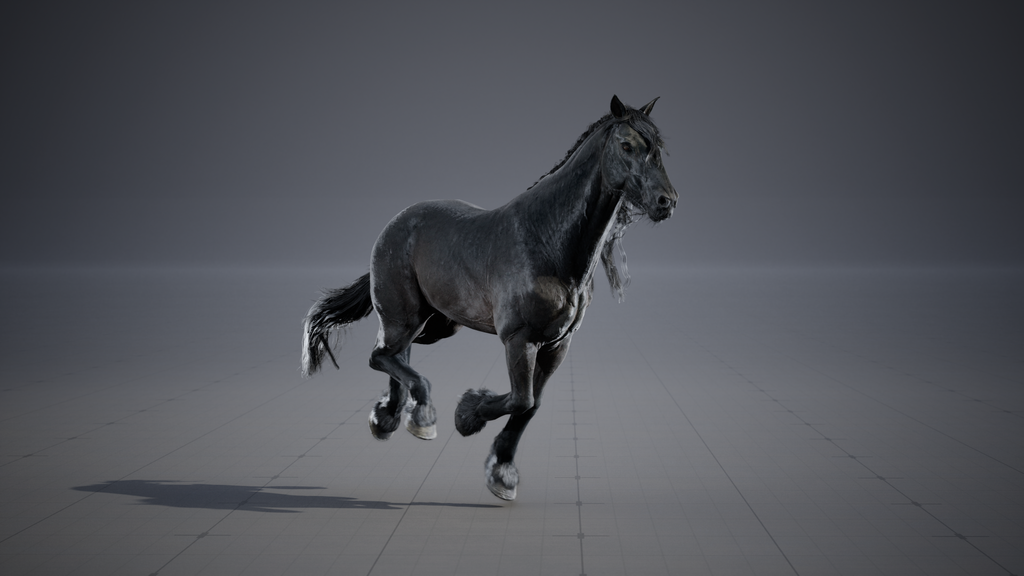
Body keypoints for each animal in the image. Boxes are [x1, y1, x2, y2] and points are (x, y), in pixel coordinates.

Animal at [301, 95, 677, 500]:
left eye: (659, 149)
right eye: (627, 145)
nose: (667, 202)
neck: (547, 242)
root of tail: (394, 225)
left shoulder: (557, 345)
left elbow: (532, 406)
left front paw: (502, 472)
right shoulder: (519, 339)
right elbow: (521, 399)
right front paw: (467, 415)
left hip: (437, 324)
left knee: (394, 353)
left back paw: (390, 416)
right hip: (406, 315)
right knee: (381, 355)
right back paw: (421, 415)